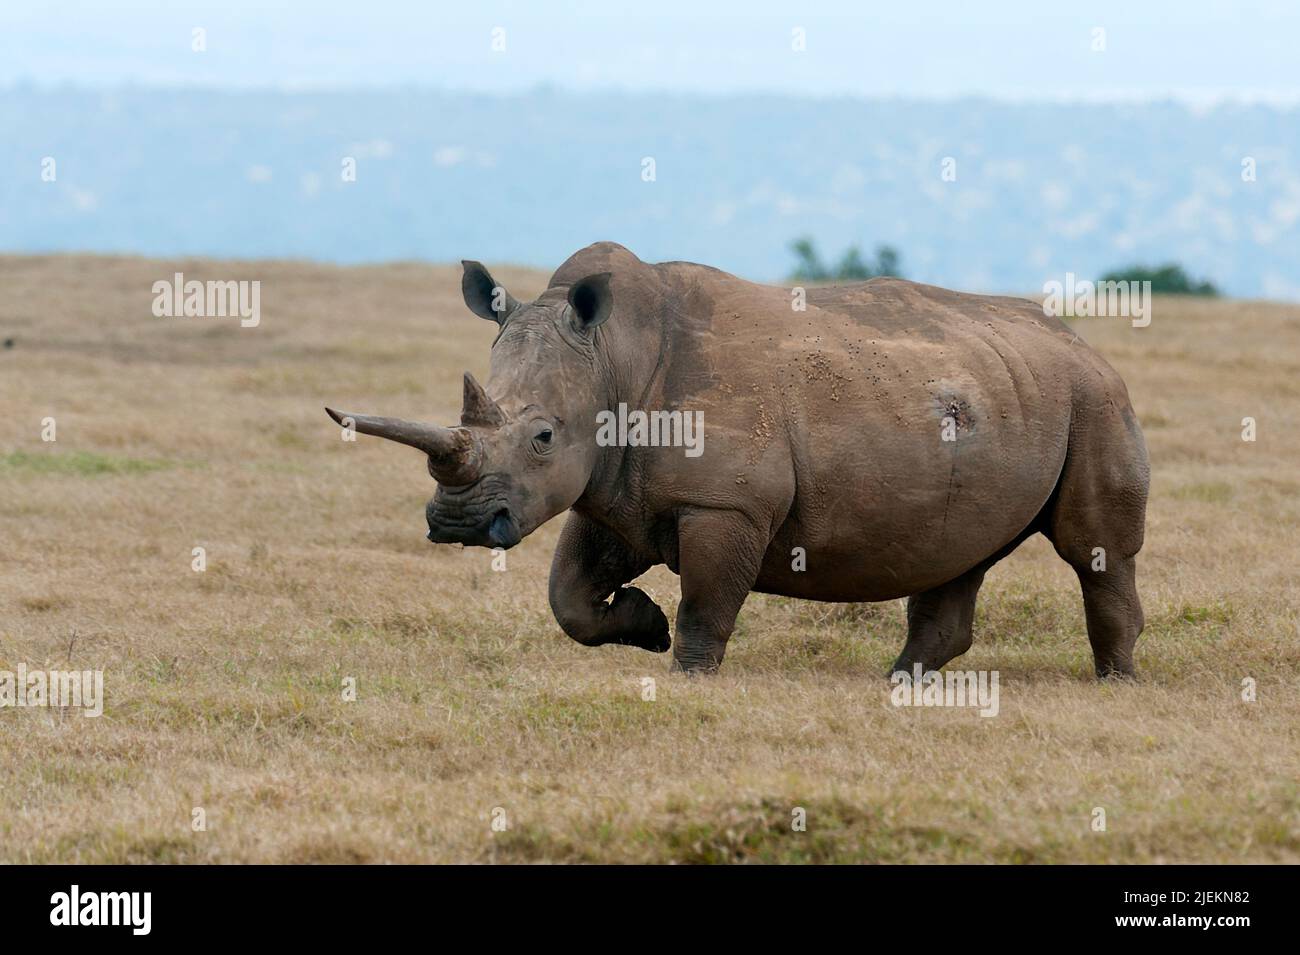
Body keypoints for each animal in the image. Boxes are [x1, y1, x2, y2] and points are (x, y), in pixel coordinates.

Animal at [327, 242, 1149, 678]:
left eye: (543, 438)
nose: (458, 523)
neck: (612, 359)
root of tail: (1082, 341)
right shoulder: (613, 490)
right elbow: (568, 597)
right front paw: (642, 624)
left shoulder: (727, 502)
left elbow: (707, 599)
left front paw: (685, 670)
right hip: (1005, 394)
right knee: (958, 553)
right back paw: (900, 686)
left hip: (1095, 400)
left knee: (1094, 550)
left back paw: (1114, 681)